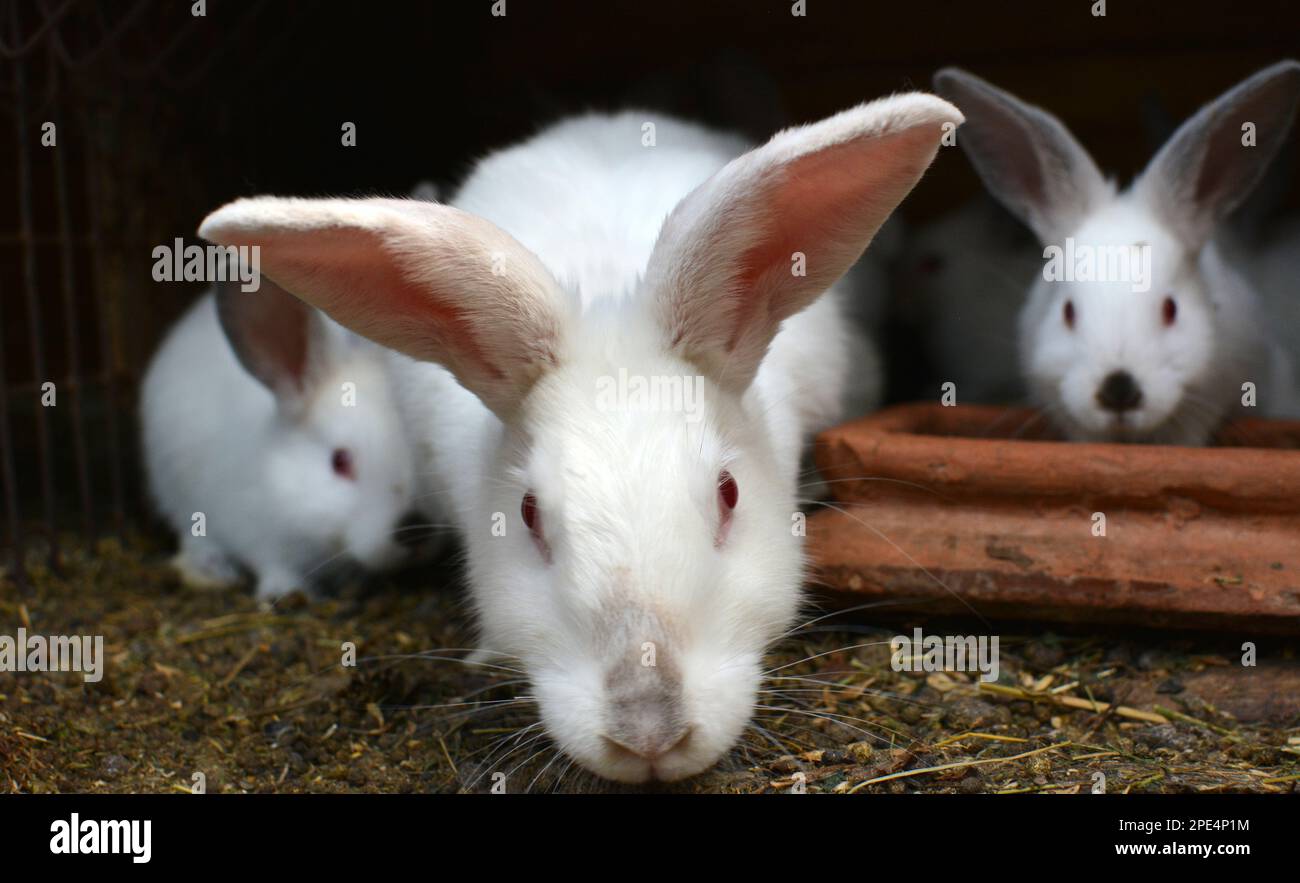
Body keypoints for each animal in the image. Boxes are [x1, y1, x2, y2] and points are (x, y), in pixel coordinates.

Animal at [140, 276, 426, 600]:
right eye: (339, 462)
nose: (415, 527)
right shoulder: (258, 532)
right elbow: (274, 565)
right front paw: (286, 592)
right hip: (173, 485)